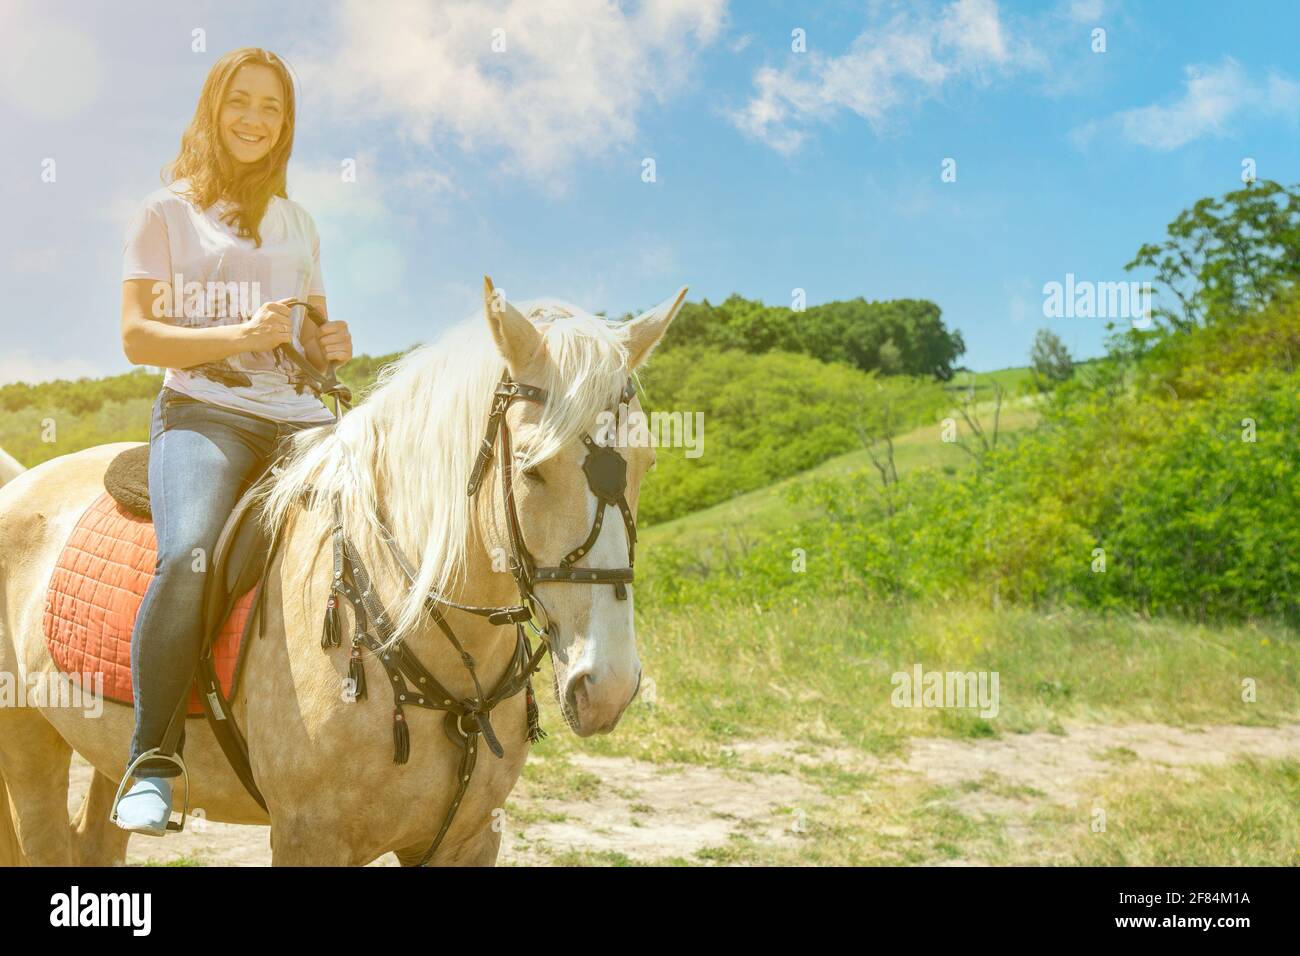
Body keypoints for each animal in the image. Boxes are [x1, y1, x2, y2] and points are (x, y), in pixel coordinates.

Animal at [0, 277, 685, 866]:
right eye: (534, 470)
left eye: (646, 463)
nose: (609, 688)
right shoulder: (309, 838)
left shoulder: (469, 841)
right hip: (28, 739)